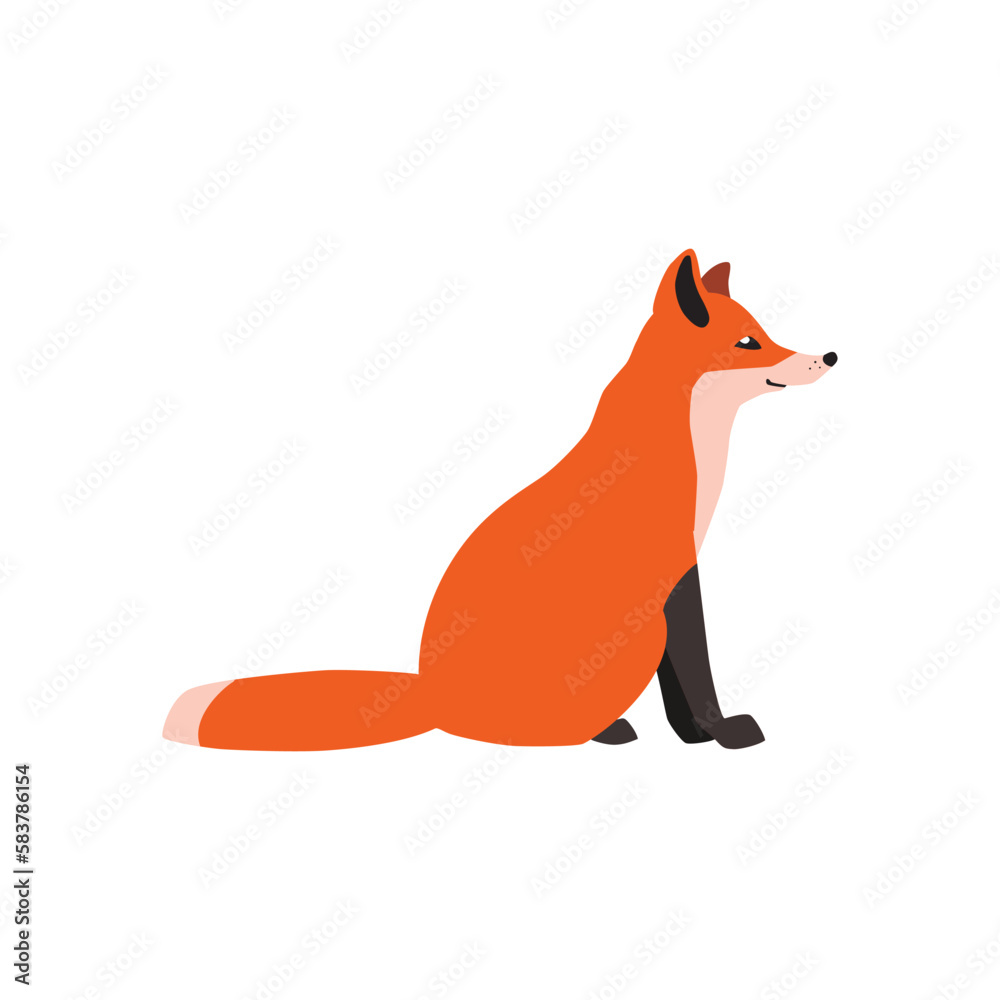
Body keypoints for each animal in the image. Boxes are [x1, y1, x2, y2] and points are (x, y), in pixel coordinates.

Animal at [164, 249, 837, 752]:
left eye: (766, 333)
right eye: (748, 341)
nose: (827, 356)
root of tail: (431, 692)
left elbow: (682, 686)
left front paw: (696, 738)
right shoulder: (674, 577)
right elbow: (696, 676)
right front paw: (721, 734)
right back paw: (606, 731)